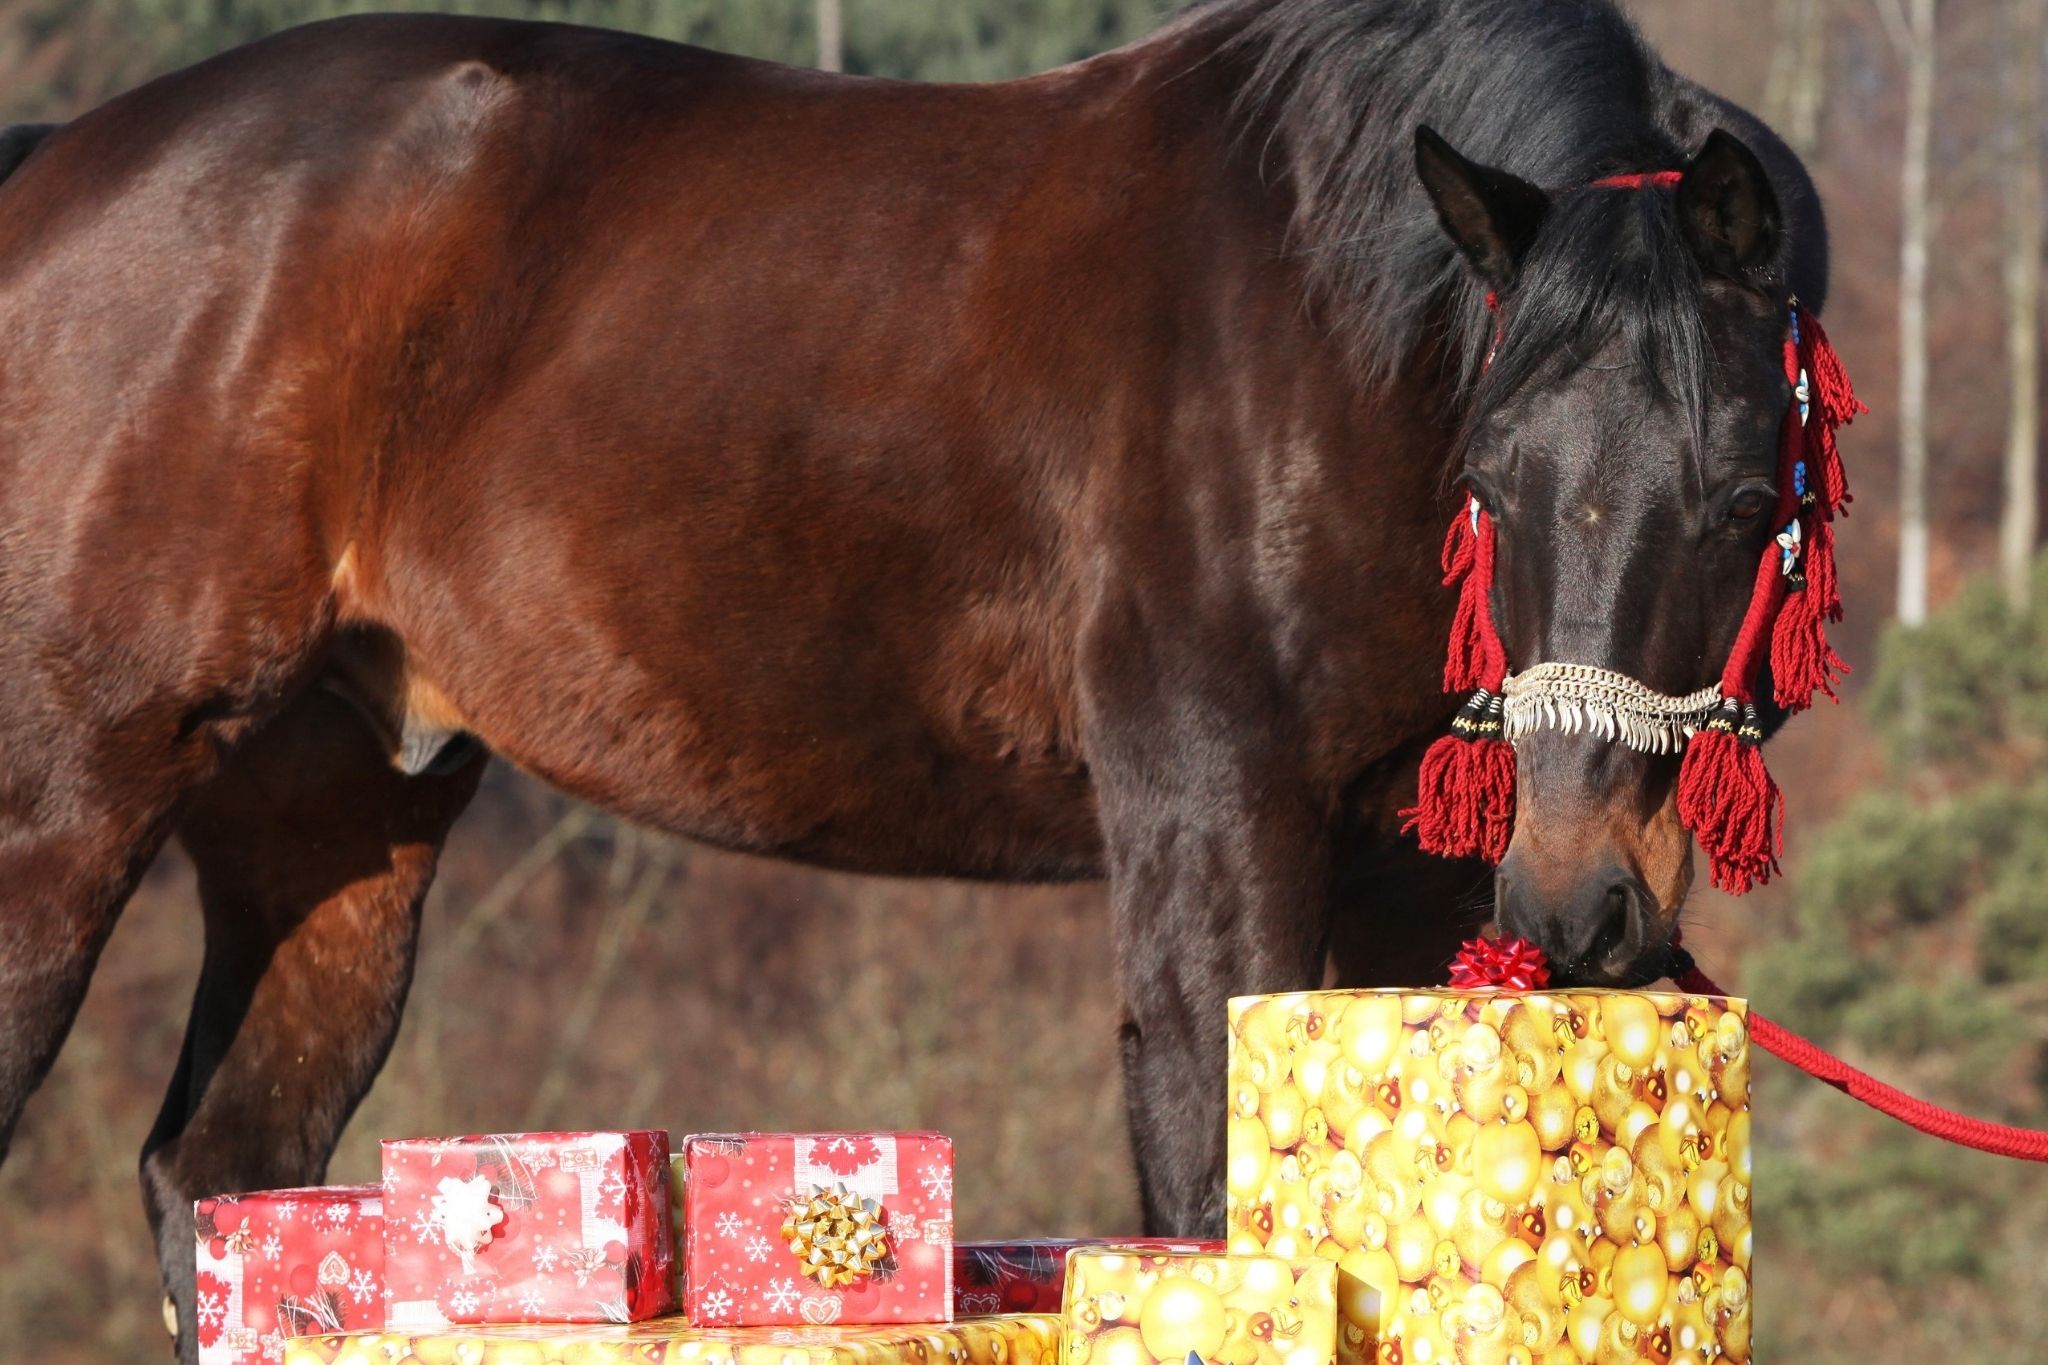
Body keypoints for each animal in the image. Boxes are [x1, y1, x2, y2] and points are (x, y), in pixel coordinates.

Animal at [0, 0, 1832, 1356]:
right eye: (1494, 483)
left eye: (1749, 498)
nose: (1586, 900)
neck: (1320, 319)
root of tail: (51, 173)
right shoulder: (1212, 825)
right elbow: (1200, 1183)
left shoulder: (1415, 873)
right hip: (68, 796)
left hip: (334, 822)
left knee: (223, 1172)